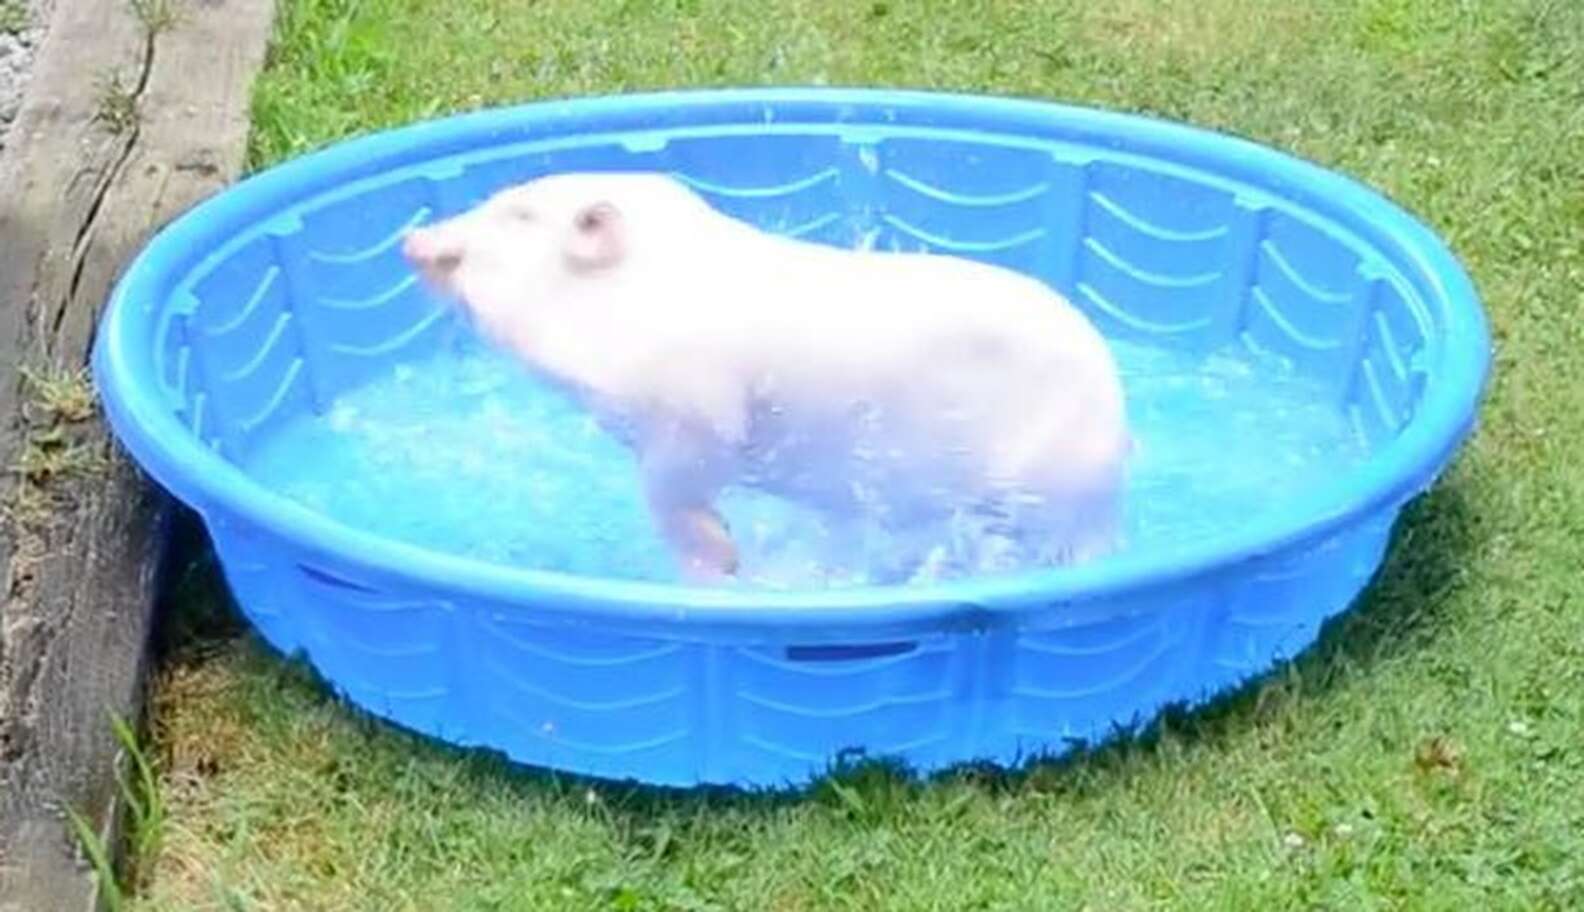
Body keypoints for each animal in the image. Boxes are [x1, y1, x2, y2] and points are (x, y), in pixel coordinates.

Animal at [401, 171, 1130, 584]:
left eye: (520, 217)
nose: (411, 240)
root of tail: (1118, 436)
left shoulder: (701, 414)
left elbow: (669, 491)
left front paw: (724, 568)